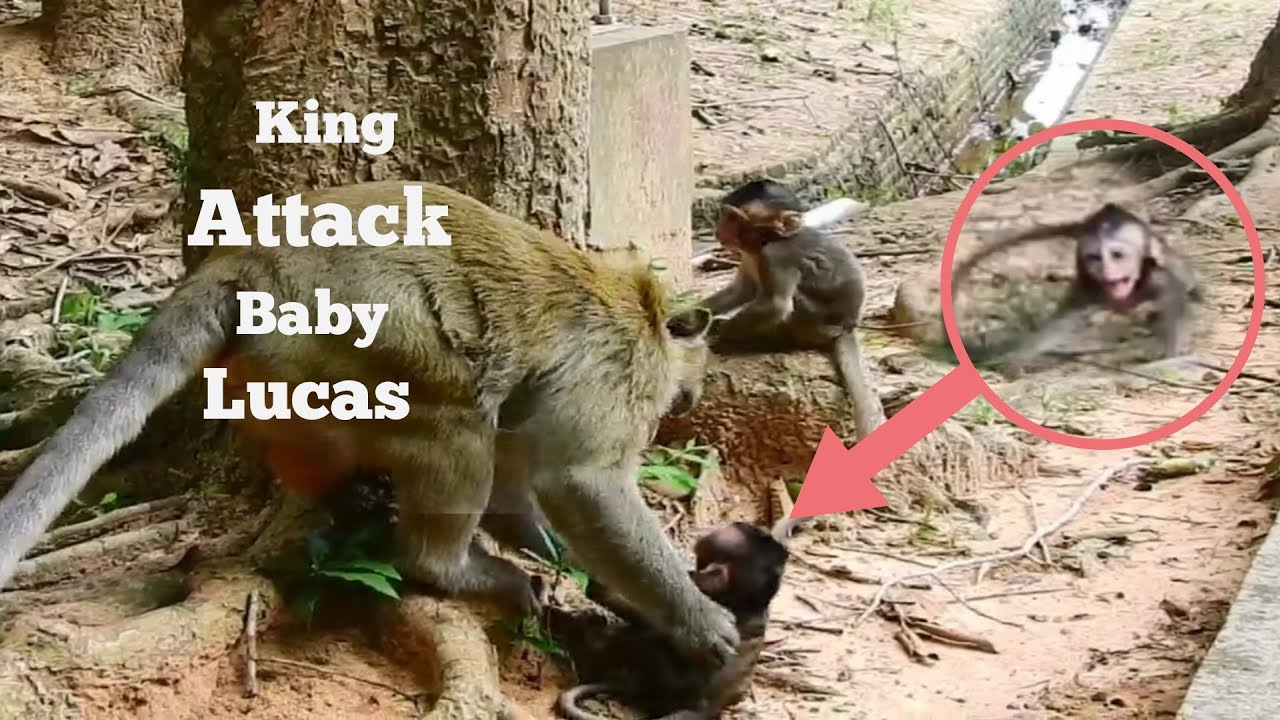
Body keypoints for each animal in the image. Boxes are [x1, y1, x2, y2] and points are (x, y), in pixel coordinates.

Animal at [0, 180, 742, 666]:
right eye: (681, 391)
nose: (685, 403)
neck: (640, 304)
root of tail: (248, 260)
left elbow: (522, 457)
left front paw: (539, 538)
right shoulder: (619, 367)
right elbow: (578, 479)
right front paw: (698, 618)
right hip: (354, 335)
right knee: (455, 415)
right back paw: (448, 568)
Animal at [699, 179, 886, 442]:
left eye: (732, 218)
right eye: (726, 216)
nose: (718, 231)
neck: (764, 242)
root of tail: (848, 326)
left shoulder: (777, 255)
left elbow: (775, 304)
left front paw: (717, 334)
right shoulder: (749, 255)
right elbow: (742, 291)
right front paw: (685, 317)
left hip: (815, 324)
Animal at [949, 201, 1204, 377]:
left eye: (1117, 255)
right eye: (1094, 258)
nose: (1107, 271)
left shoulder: (1158, 278)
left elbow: (1175, 300)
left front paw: (1172, 352)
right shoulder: (1088, 287)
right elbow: (1058, 324)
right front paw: (1014, 362)